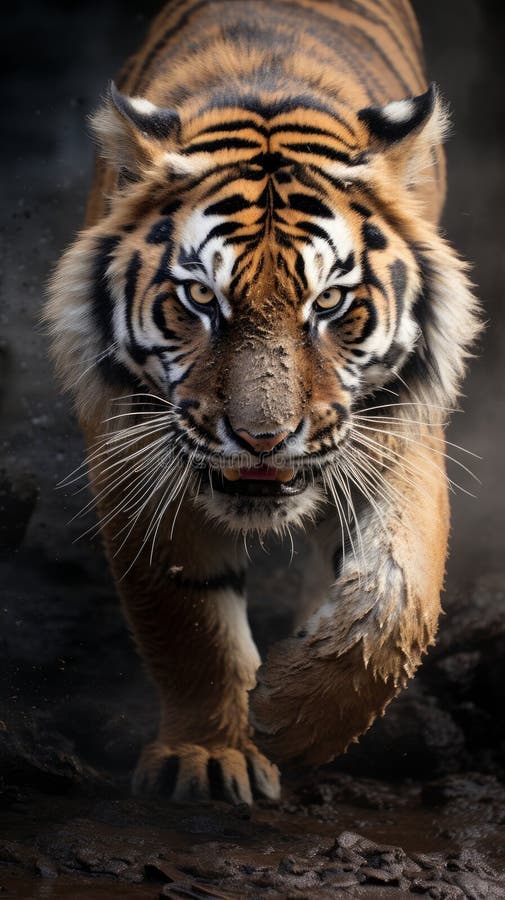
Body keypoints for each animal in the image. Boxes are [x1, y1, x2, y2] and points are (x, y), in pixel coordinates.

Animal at [45, 0, 480, 805]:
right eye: (200, 298)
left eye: (329, 303)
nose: (263, 440)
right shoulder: (130, 446)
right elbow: (188, 619)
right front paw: (211, 754)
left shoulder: (399, 426)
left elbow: (395, 599)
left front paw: (291, 719)